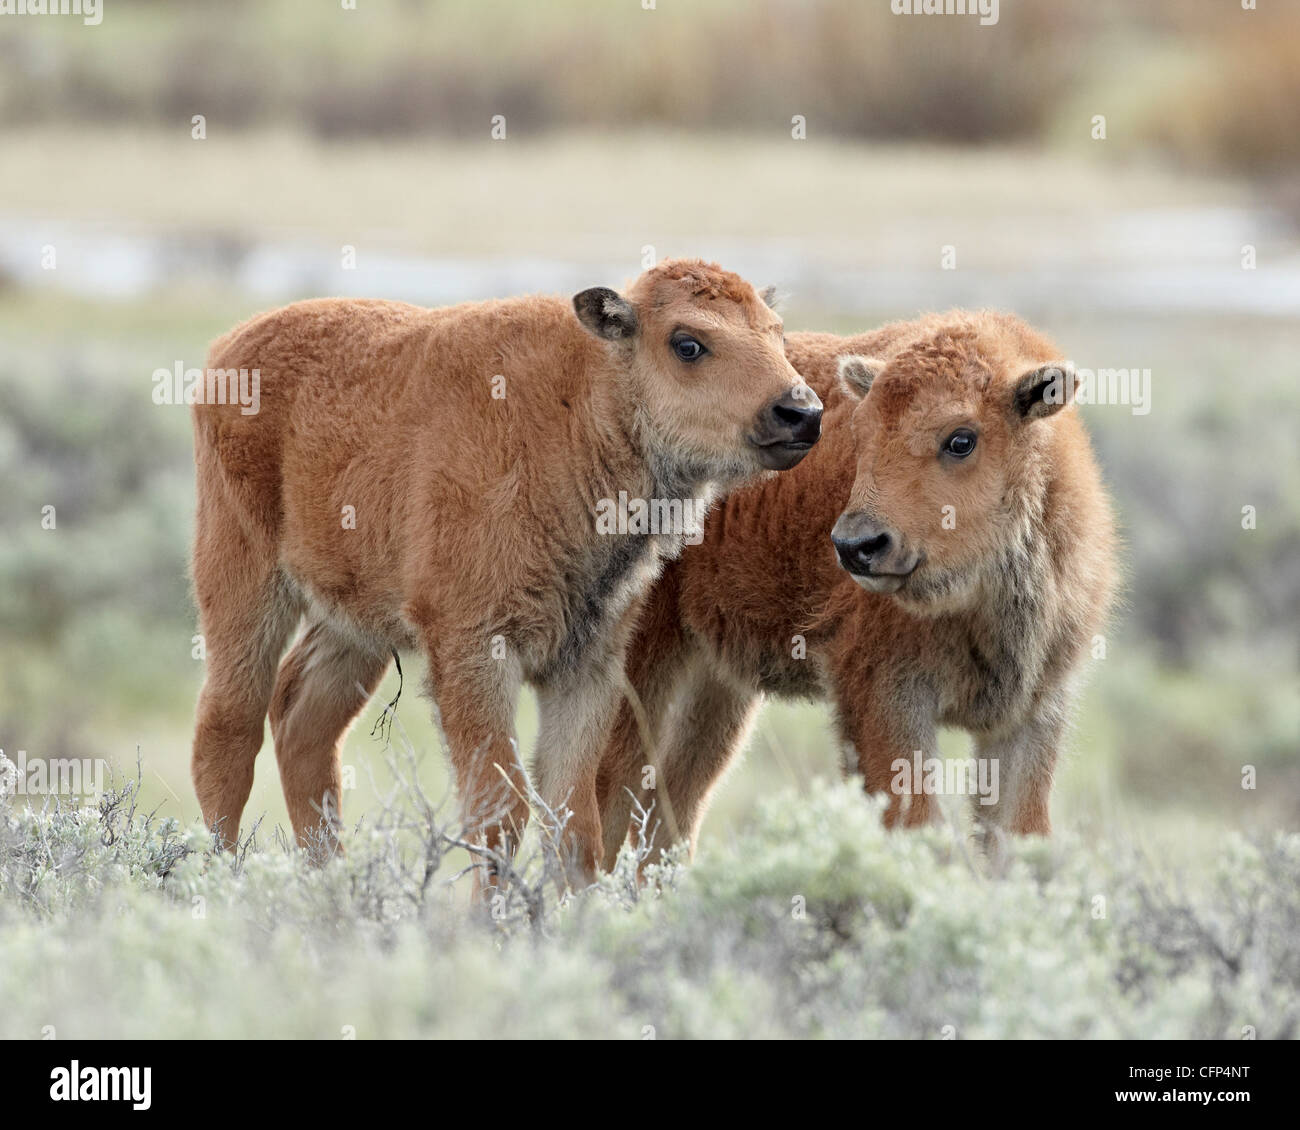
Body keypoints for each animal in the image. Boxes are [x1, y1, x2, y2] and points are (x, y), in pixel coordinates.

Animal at [188, 259, 822, 886]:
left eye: (776, 332)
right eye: (687, 343)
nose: (802, 413)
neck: (587, 406)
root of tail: (226, 350)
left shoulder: (589, 665)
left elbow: (575, 824)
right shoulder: (476, 653)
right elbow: (501, 813)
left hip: (354, 621)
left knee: (304, 723)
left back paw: (331, 885)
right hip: (244, 580)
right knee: (227, 732)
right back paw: (221, 880)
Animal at [595, 311, 1118, 866]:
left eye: (962, 439)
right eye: (861, 432)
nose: (856, 545)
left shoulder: (1033, 713)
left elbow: (1018, 838)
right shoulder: (886, 694)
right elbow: (916, 825)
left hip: (717, 684)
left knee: (672, 802)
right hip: (640, 661)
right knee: (606, 791)